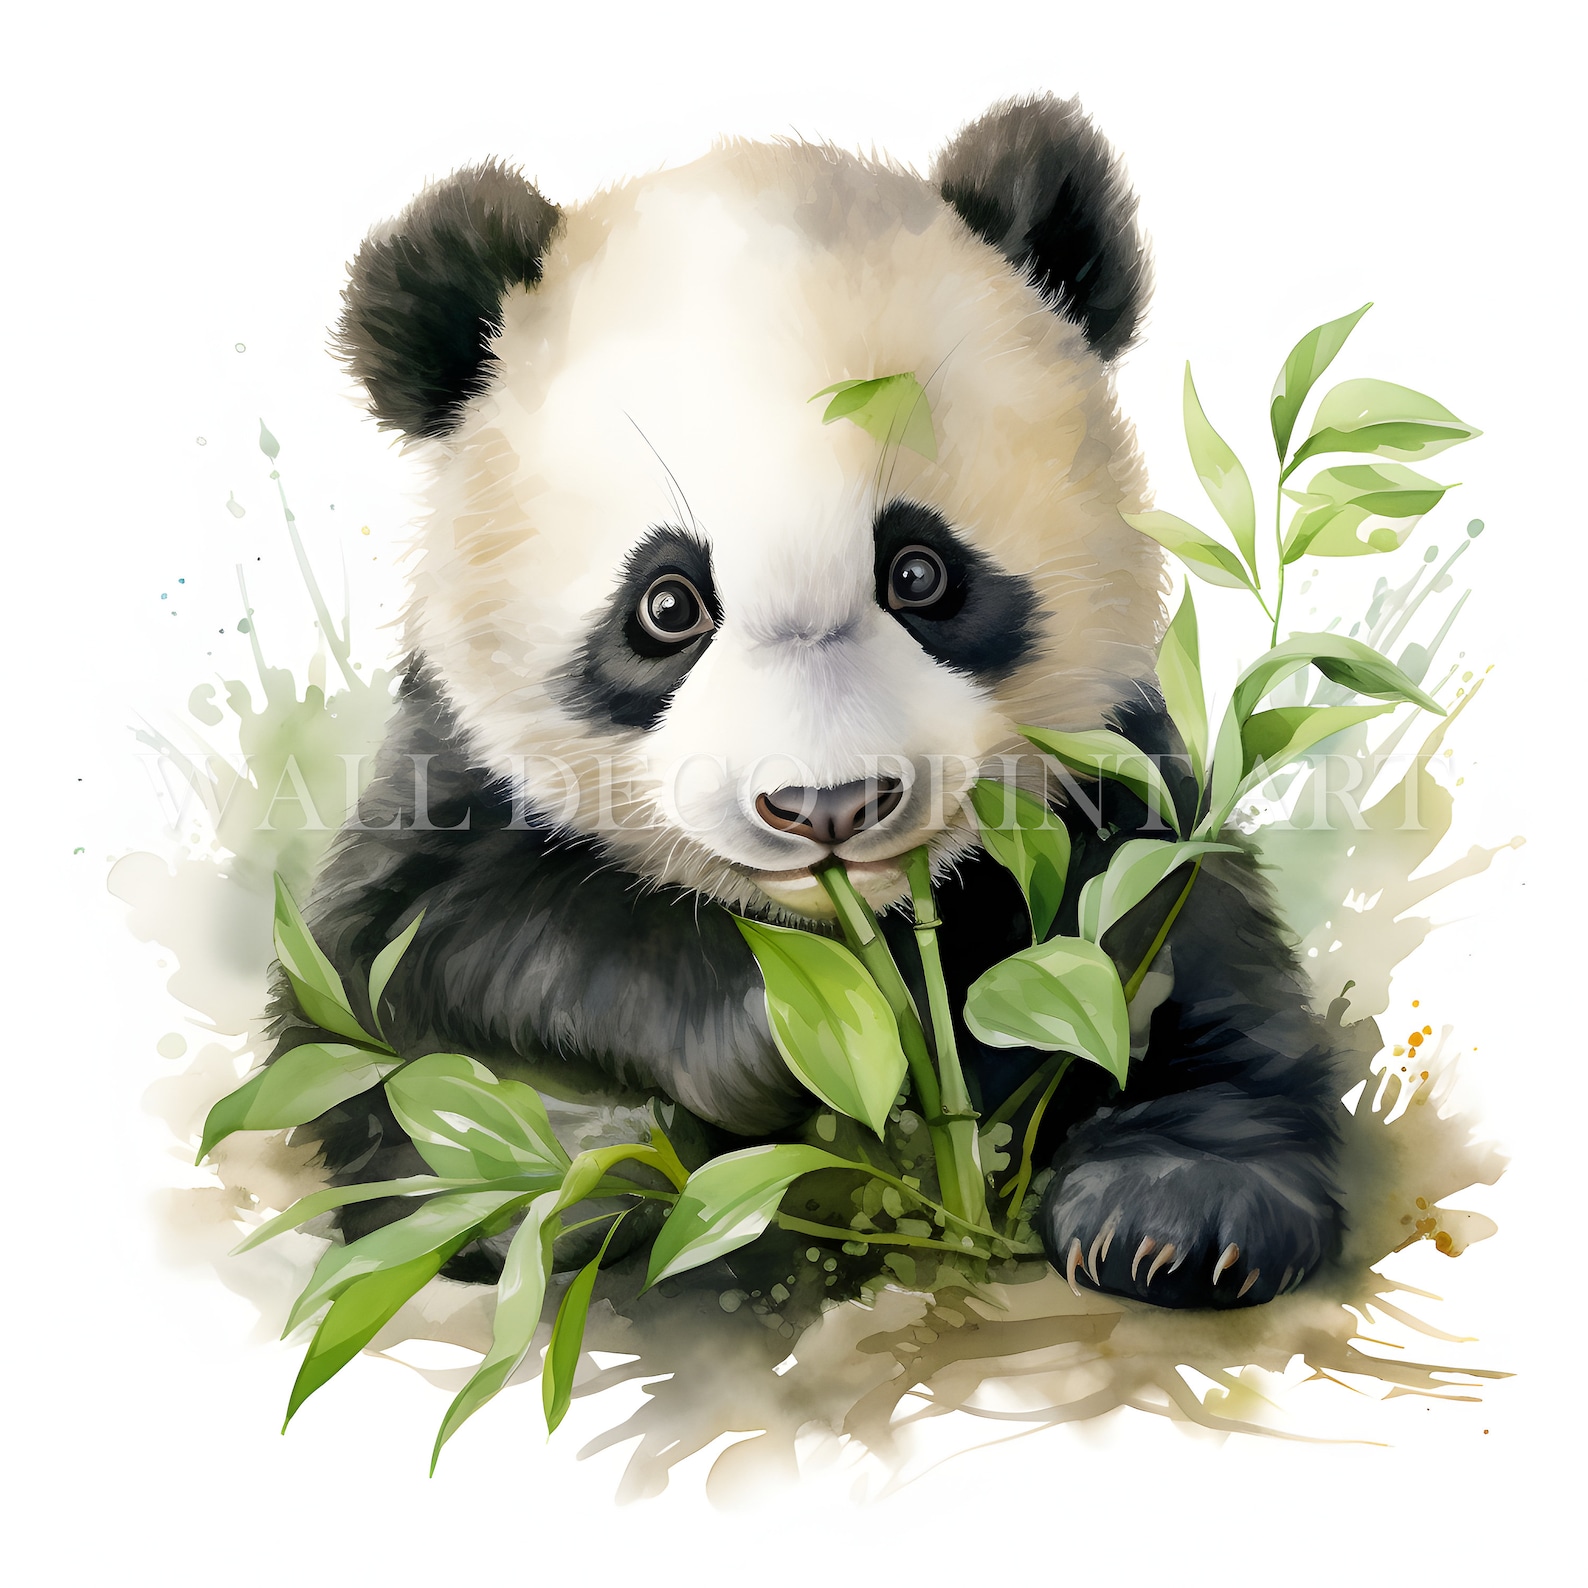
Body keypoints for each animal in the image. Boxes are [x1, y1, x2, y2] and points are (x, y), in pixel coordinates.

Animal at [279, 93, 1343, 1312]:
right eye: (667, 604)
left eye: (919, 572)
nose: (829, 805)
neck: (852, 918)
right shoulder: (450, 770)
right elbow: (408, 954)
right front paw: (778, 1033)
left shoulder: (1111, 771)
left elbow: (1186, 940)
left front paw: (1183, 1204)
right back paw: (553, 1186)